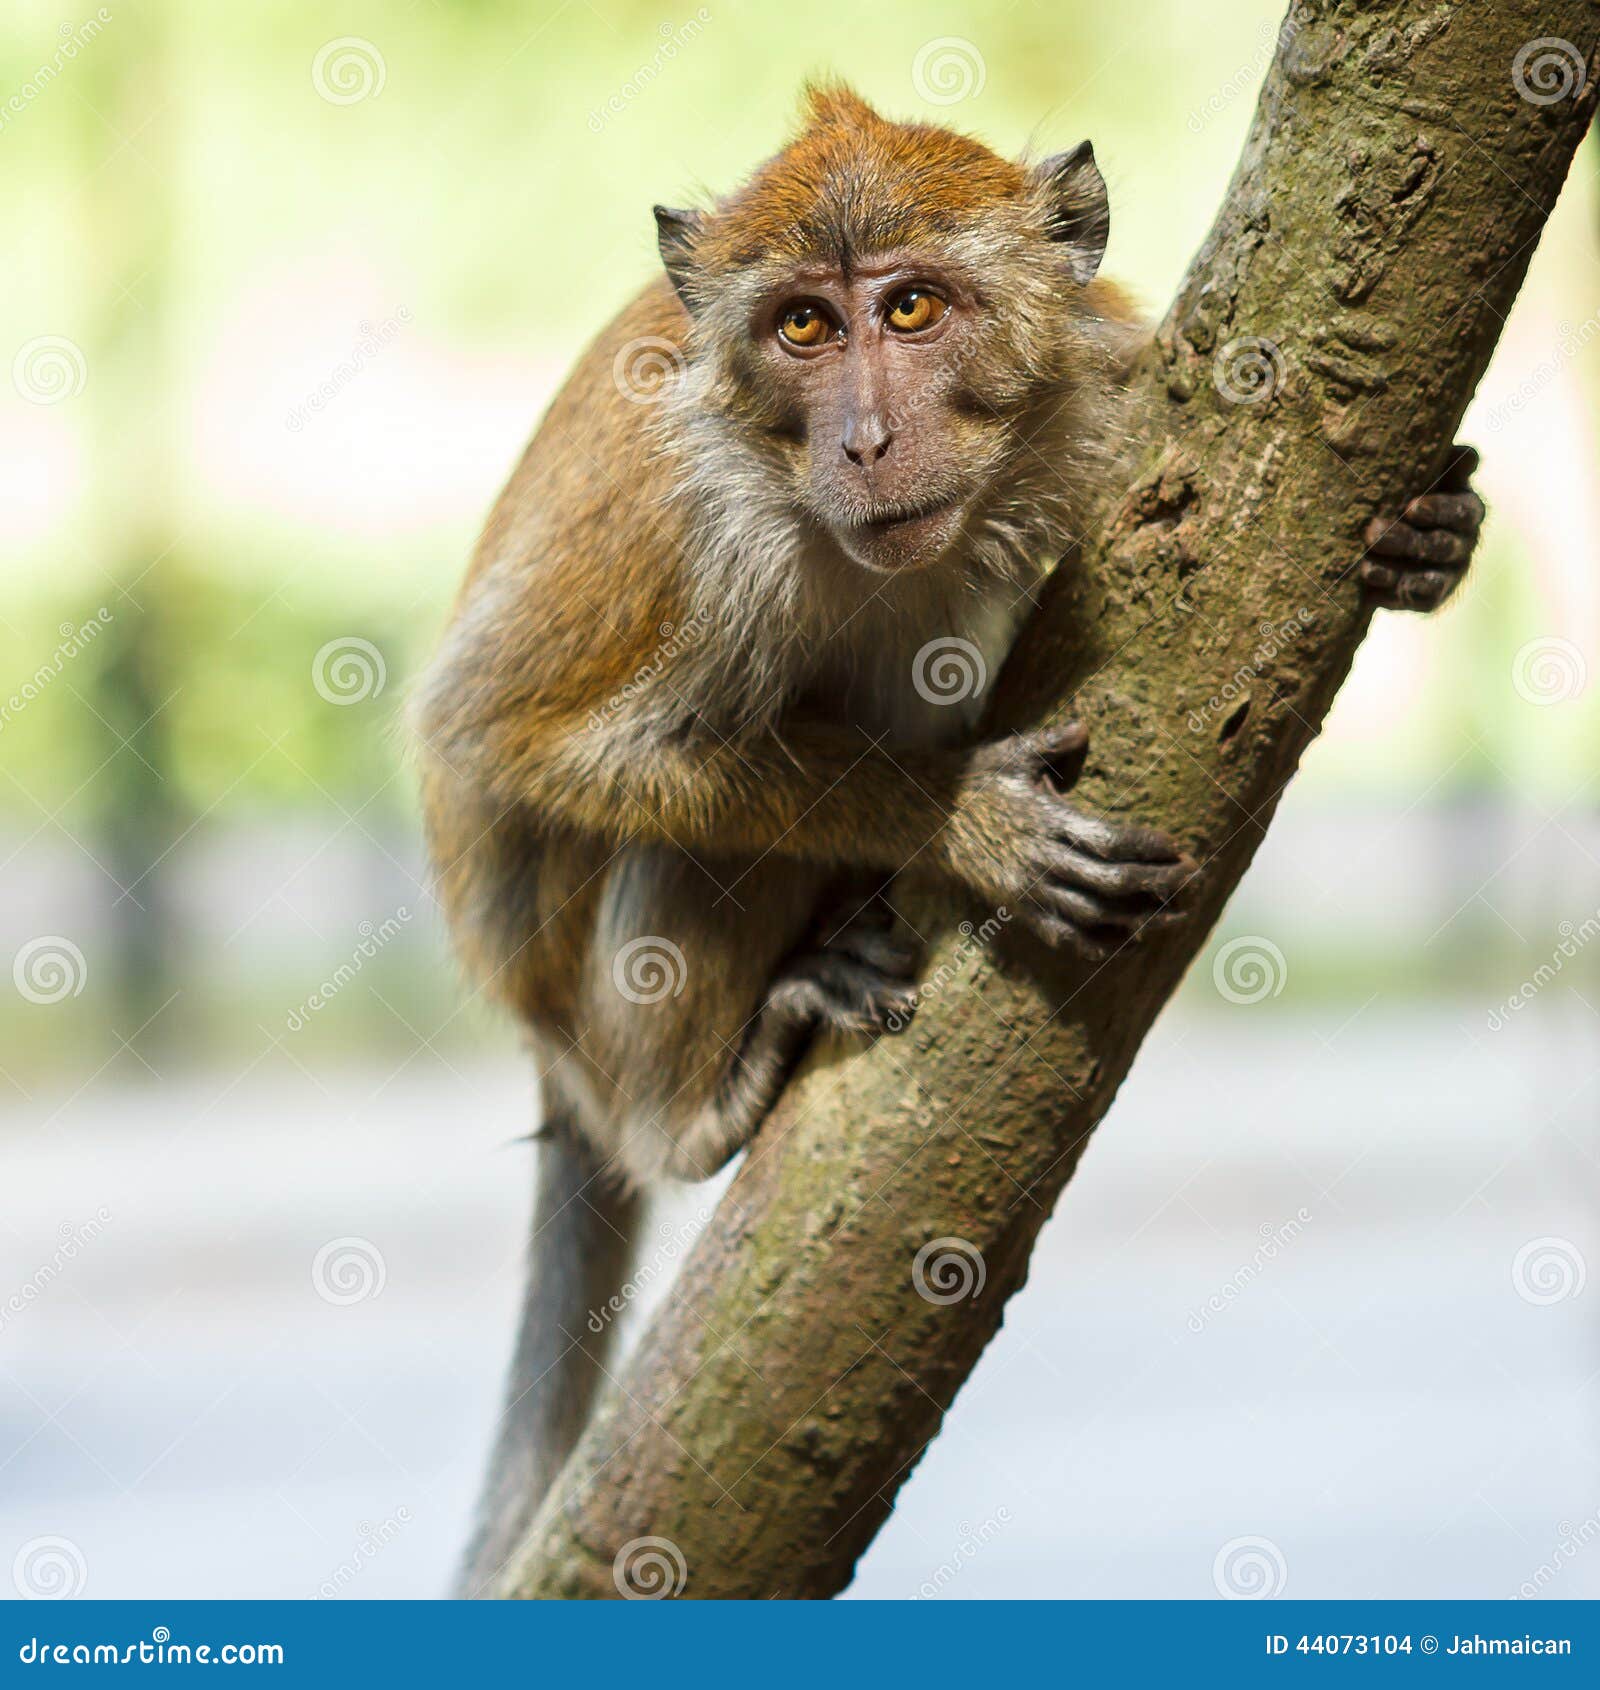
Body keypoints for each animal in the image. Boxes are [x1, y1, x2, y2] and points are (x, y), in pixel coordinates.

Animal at [411, 84, 1485, 1596]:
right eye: (804, 326)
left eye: (912, 308)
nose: (863, 439)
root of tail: (551, 1054)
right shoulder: (688, 532)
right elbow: (505, 739)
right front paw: (959, 816)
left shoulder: (1115, 391)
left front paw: (1433, 536)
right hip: (581, 1001)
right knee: (679, 848)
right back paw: (698, 1107)